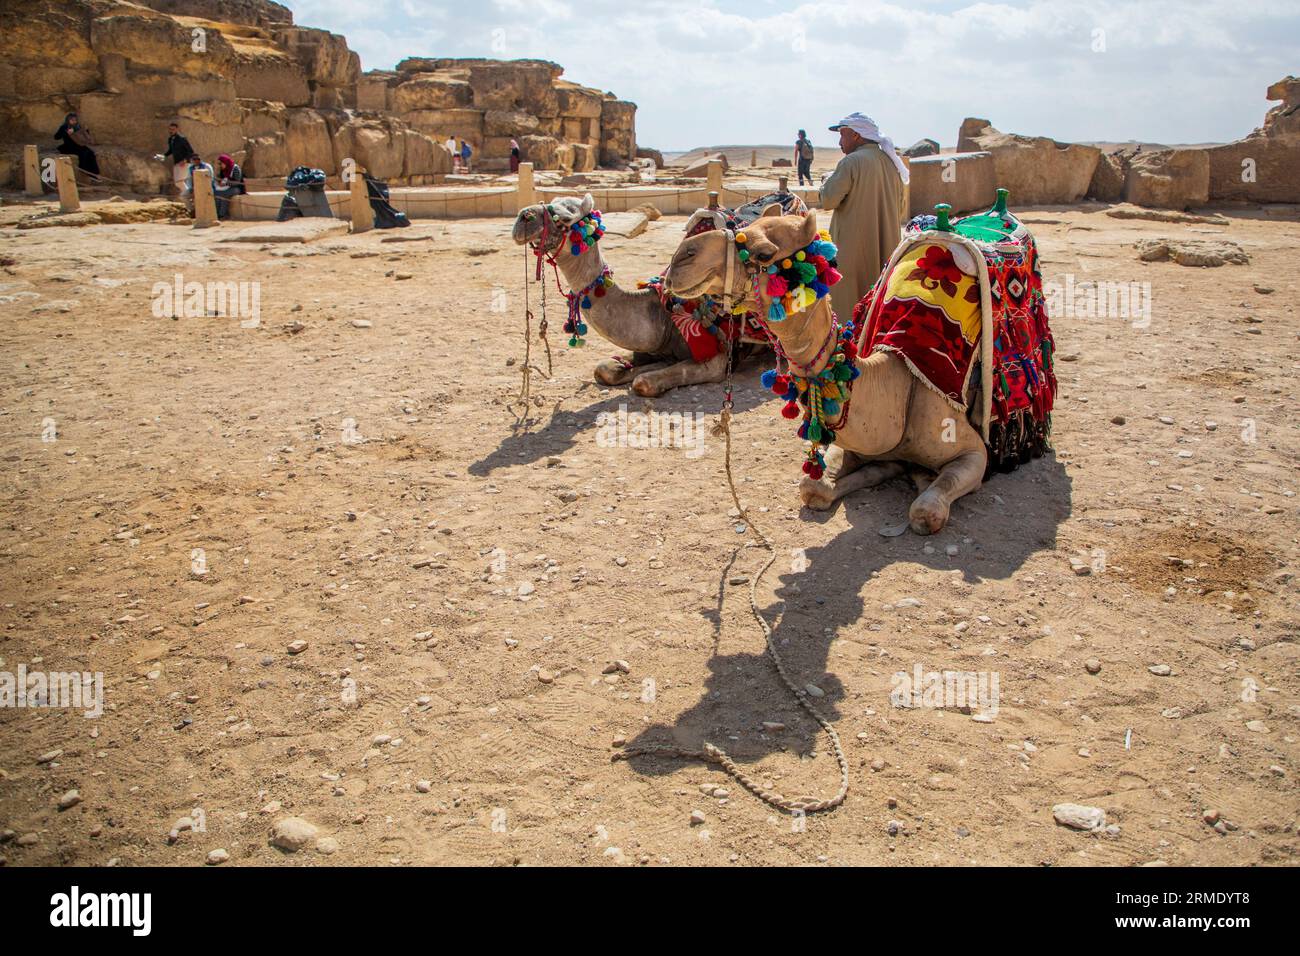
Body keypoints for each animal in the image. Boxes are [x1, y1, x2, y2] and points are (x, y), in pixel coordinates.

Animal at [511, 194, 735, 397]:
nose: (524, 217)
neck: (663, 313)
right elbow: (604, 369)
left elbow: (643, 382)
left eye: (565, 217)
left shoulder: (715, 357)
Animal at [663, 206, 990, 534]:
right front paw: (893, 471)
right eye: (742, 227)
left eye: (764, 253)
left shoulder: (974, 452)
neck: (901, 385)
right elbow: (813, 487)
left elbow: (925, 511)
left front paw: (921, 478)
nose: (681, 257)